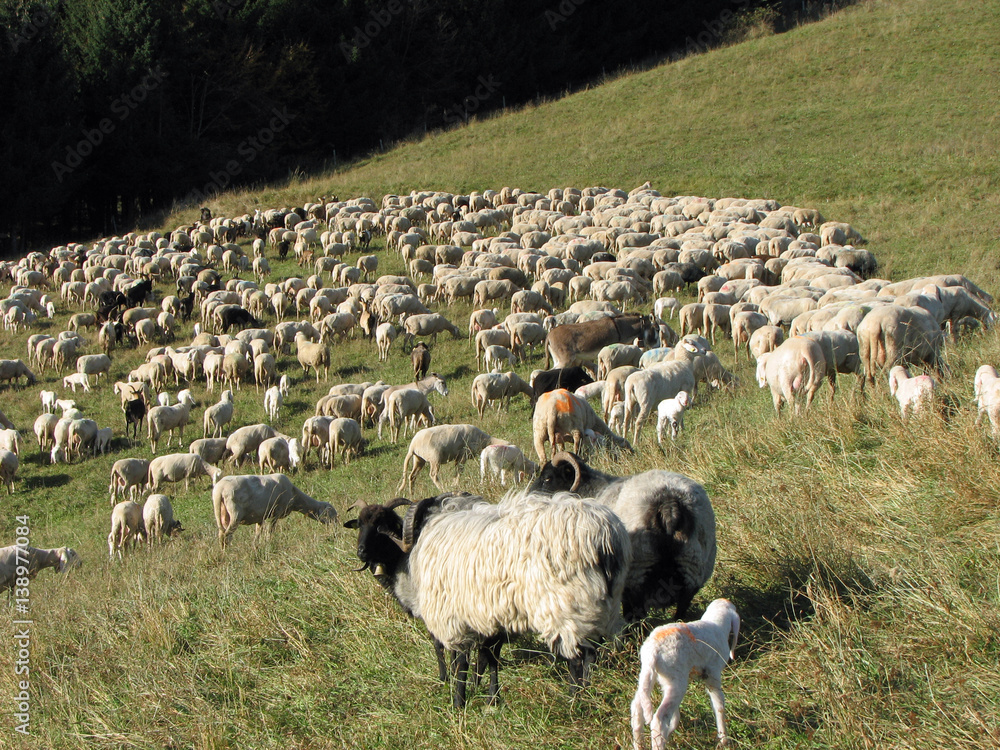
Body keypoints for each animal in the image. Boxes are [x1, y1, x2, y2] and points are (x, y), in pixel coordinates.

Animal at [344, 491, 630, 706]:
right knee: (593, 653)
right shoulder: (490, 616)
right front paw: (491, 697)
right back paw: (587, 696)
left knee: (578, 658)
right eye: (360, 524)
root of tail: (603, 536)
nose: (361, 552)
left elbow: (457, 659)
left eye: (382, 526)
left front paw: (457, 700)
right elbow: (488, 658)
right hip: (603, 606)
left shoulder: (451, 616)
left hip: (566, 606)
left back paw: (574, 702)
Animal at [530, 451, 717, 621]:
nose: (530, 496)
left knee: (636, 613)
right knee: (682, 609)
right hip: (693, 568)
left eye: (547, 478)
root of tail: (669, 504)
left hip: (636, 571)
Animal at [631, 599, 740, 750]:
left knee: (637, 707)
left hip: (650, 675)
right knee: (658, 720)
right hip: (677, 680)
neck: (716, 622)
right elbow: (719, 704)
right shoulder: (713, 674)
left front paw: (671, 728)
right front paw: (724, 739)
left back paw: (639, 744)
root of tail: (653, 650)